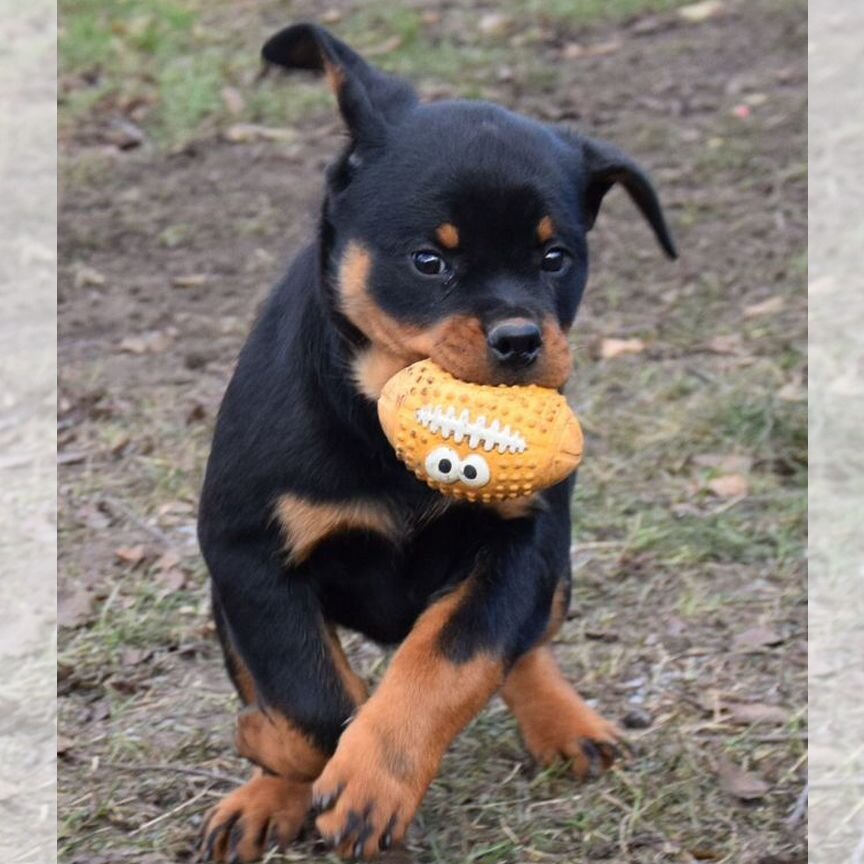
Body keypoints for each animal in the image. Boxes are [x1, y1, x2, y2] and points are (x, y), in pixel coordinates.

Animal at [197, 22, 676, 864]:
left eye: (555, 258)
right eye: (430, 260)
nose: (520, 339)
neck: (375, 421)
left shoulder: (522, 546)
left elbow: (455, 656)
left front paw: (372, 779)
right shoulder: (248, 554)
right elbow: (309, 698)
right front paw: (280, 752)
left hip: (555, 576)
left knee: (524, 644)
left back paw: (566, 723)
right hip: (225, 606)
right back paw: (266, 794)